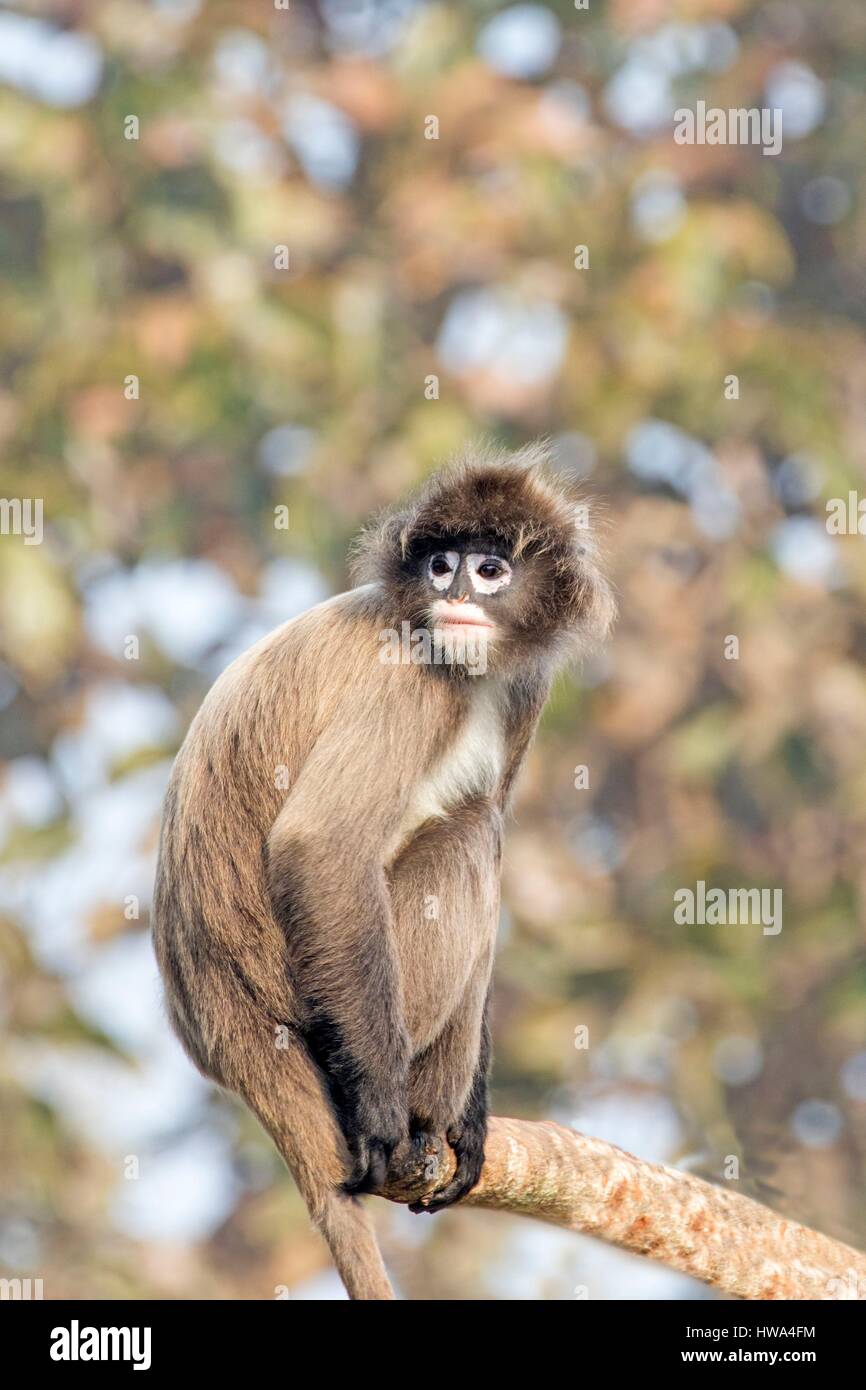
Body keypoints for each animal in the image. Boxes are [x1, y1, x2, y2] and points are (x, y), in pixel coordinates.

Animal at [152, 443, 614, 1300]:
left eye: (490, 570)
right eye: (439, 566)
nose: (456, 592)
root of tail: (229, 1029)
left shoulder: (526, 689)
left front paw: (472, 1117)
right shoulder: (413, 675)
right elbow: (321, 845)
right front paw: (377, 1113)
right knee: (472, 837)